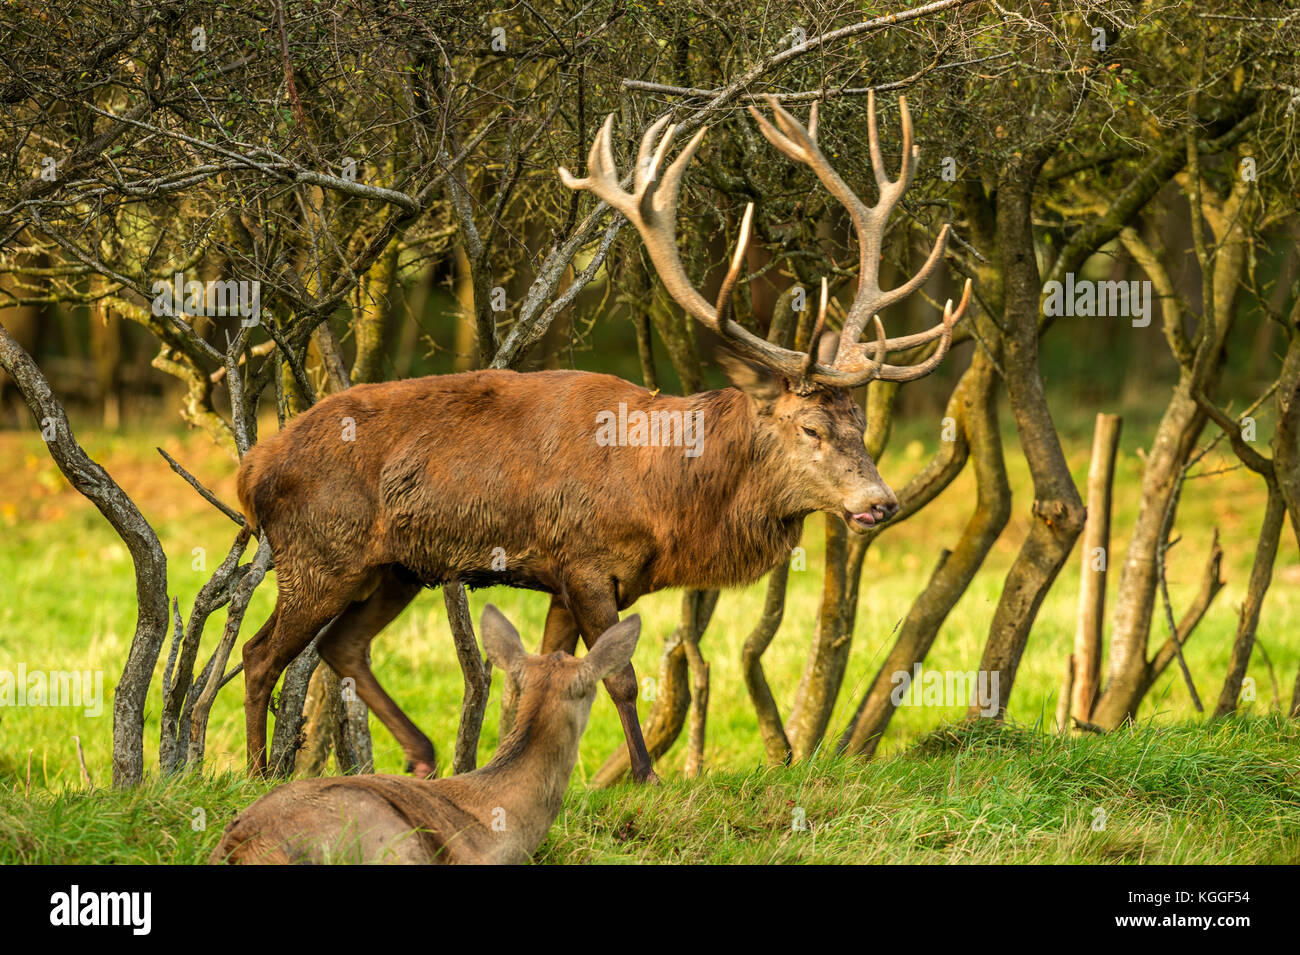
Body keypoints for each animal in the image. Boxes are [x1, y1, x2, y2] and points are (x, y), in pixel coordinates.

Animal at [235, 91, 970, 785]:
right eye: (811, 426)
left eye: (860, 424)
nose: (880, 501)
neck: (664, 496)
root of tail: (251, 468)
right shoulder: (584, 559)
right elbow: (618, 675)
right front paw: (645, 774)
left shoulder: (571, 577)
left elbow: (550, 669)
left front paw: (514, 764)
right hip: (319, 551)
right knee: (261, 652)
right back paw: (258, 770)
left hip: (395, 567)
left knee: (341, 647)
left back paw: (421, 756)